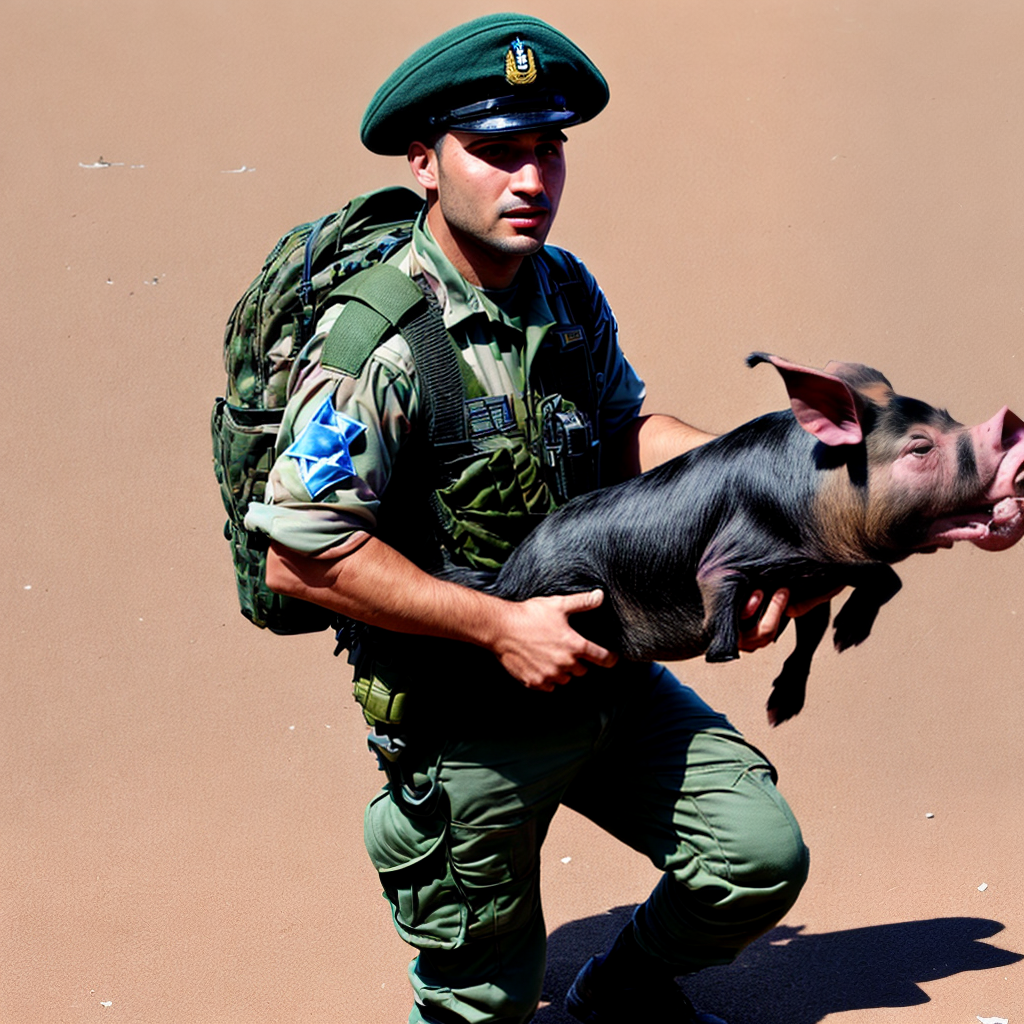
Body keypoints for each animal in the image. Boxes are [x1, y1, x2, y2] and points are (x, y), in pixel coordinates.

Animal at [443, 353, 1024, 725]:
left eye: (949, 417)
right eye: (920, 447)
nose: (1011, 424)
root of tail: (507, 576)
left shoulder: (820, 576)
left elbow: (844, 608)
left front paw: (788, 703)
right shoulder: (733, 554)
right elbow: (722, 582)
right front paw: (726, 652)